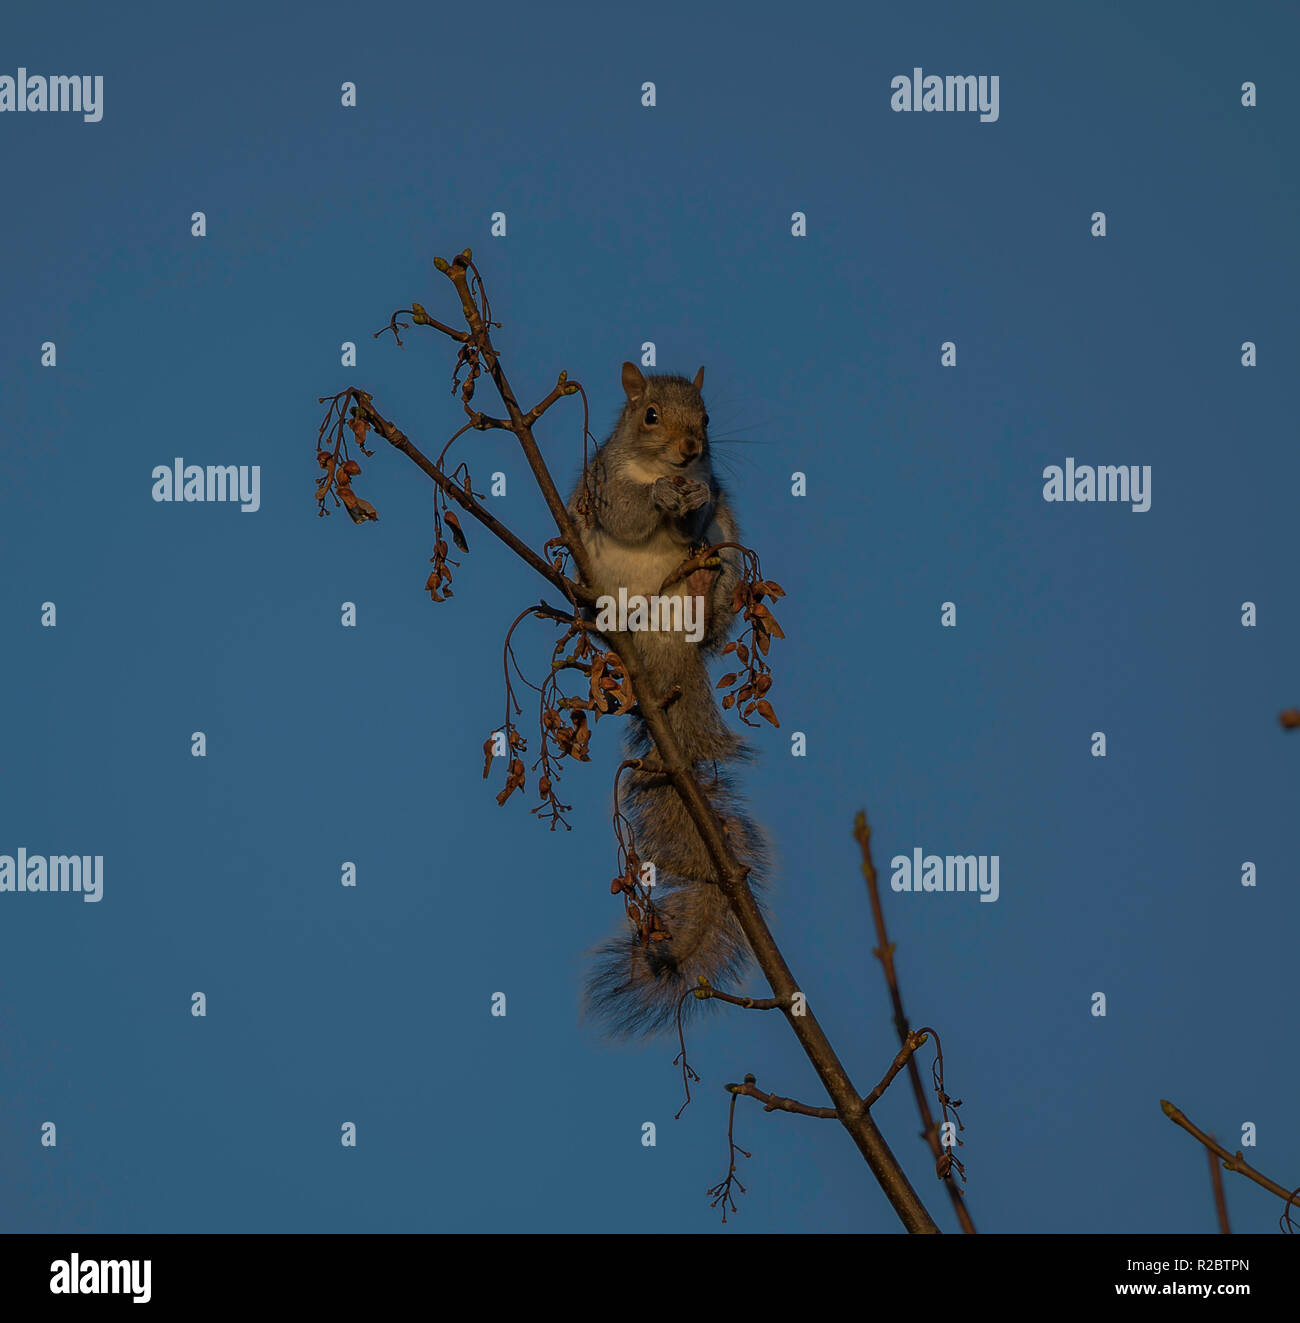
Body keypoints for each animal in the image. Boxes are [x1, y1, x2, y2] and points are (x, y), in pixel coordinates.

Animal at [567, 361, 768, 1036]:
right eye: (650, 415)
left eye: (706, 416)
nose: (691, 450)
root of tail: (662, 647)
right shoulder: (602, 487)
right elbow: (628, 513)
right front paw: (657, 497)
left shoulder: (713, 495)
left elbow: (699, 513)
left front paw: (691, 500)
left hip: (727, 567)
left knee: (709, 609)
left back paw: (702, 587)